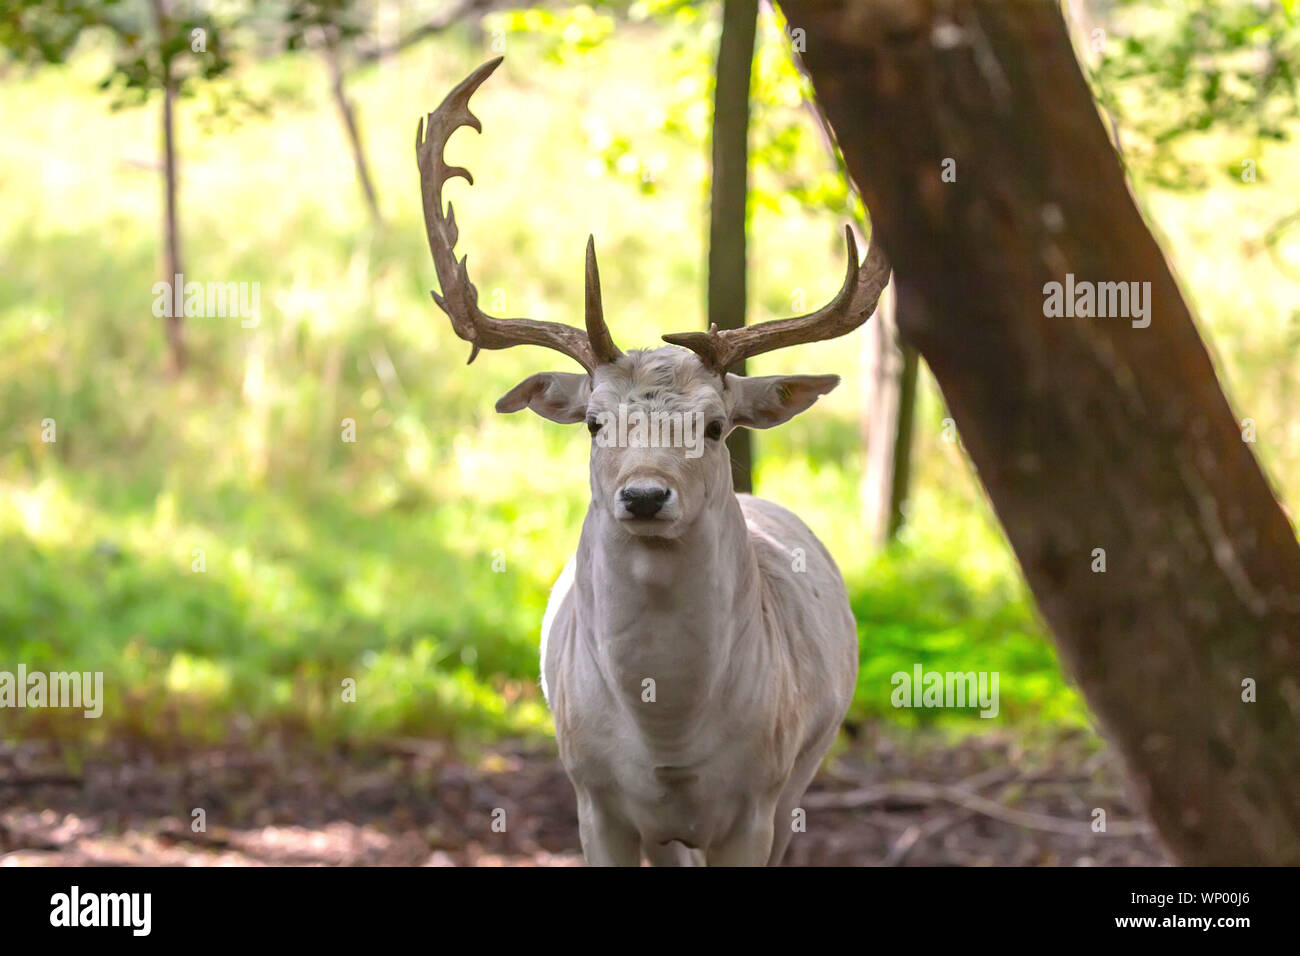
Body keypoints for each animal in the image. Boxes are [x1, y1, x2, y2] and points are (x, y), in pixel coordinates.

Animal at [417, 58, 890, 866]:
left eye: (716, 426)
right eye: (594, 423)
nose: (643, 497)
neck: (669, 738)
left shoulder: (757, 802)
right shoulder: (594, 799)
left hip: (804, 770)